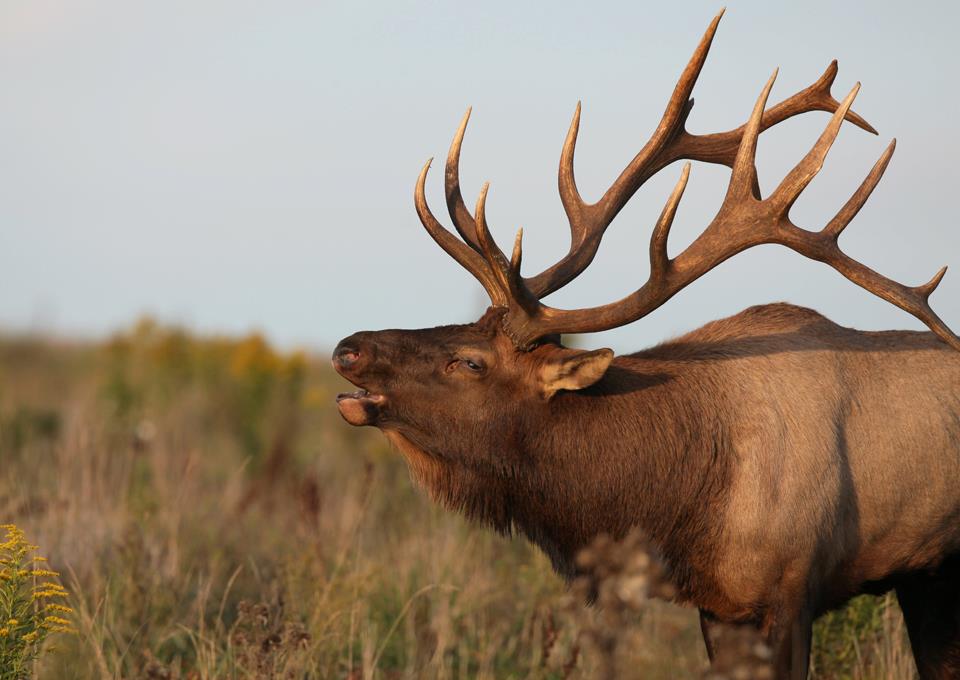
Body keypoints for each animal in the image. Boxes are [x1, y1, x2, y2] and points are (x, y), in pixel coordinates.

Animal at [332, 10, 960, 679]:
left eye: (471, 361)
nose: (350, 347)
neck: (679, 502)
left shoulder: (791, 587)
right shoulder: (722, 605)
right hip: (931, 578)